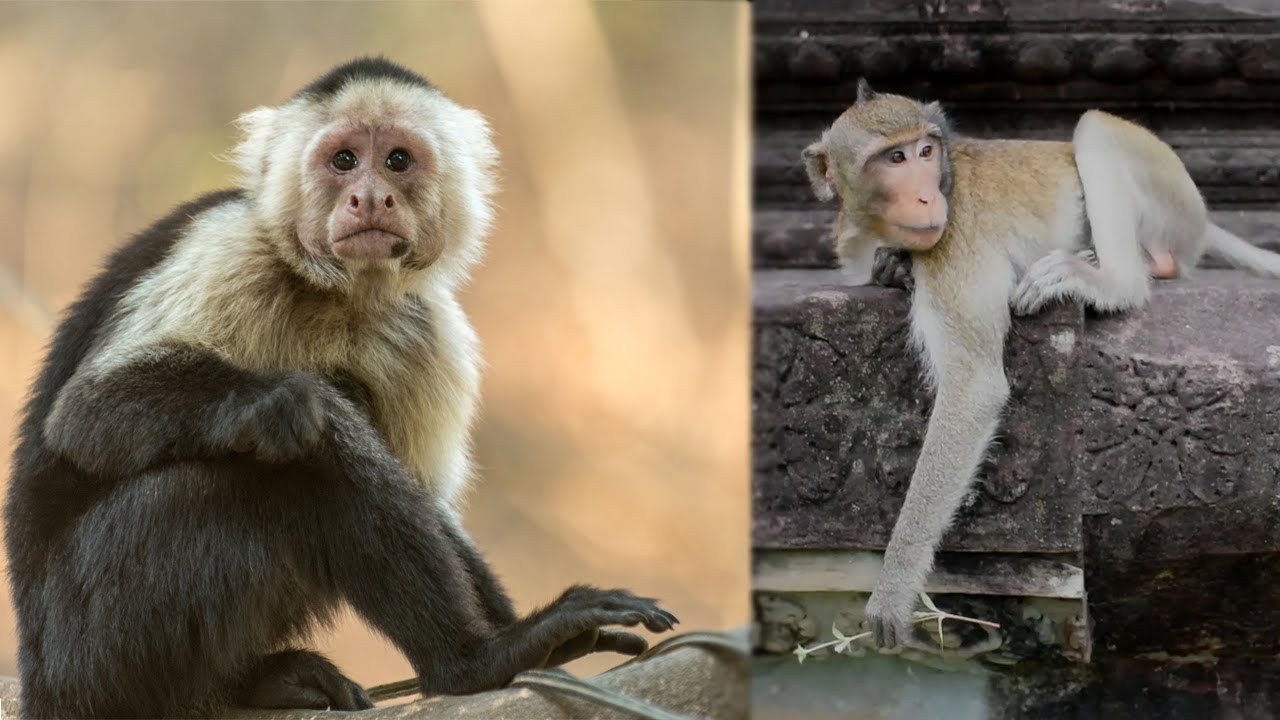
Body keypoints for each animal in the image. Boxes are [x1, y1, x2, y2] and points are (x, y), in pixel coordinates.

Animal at [4, 57, 677, 719]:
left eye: (398, 160)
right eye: (345, 160)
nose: (370, 196)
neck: (339, 290)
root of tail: (41, 679)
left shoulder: (428, 327)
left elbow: (428, 500)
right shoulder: (229, 249)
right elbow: (85, 413)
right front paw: (274, 401)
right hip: (87, 650)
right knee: (263, 466)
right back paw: (470, 662)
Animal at [800, 79, 1280, 649]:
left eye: (925, 151)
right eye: (895, 158)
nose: (926, 196)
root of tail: (1203, 224)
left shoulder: (950, 244)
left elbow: (974, 390)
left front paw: (893, 590)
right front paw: (887, 269)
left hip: (1170, 199)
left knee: (1095, 130)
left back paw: (1108, 275)